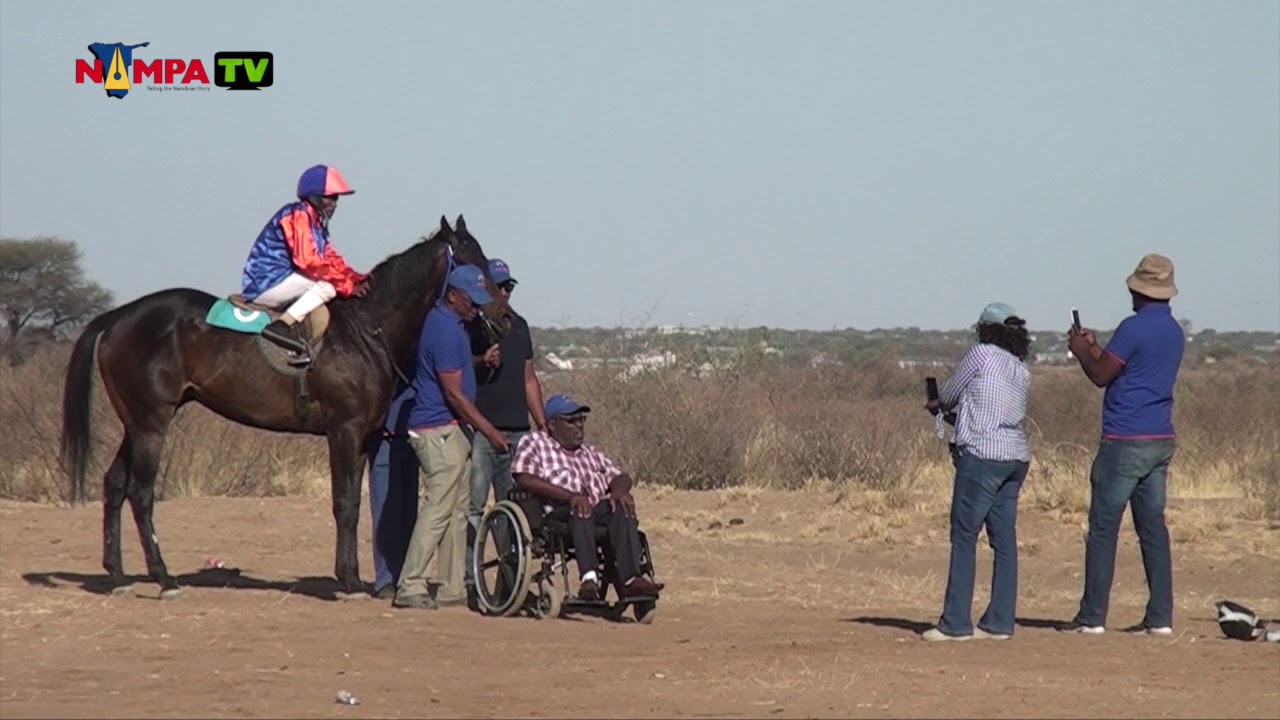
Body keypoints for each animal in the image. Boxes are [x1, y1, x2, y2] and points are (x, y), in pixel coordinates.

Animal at [59, 214, 509, 599]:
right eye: (470, 264)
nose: (504, 318)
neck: (366, 330)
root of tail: (117, 317)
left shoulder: (363, 437)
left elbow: (355, 503)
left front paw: (352, 576)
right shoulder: (343, 432)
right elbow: (344, 504)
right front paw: (348, 581)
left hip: (134, 423)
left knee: (114, 484)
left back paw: (118, 576)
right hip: (151, 424)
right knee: (140, 493)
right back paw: (164, 578)